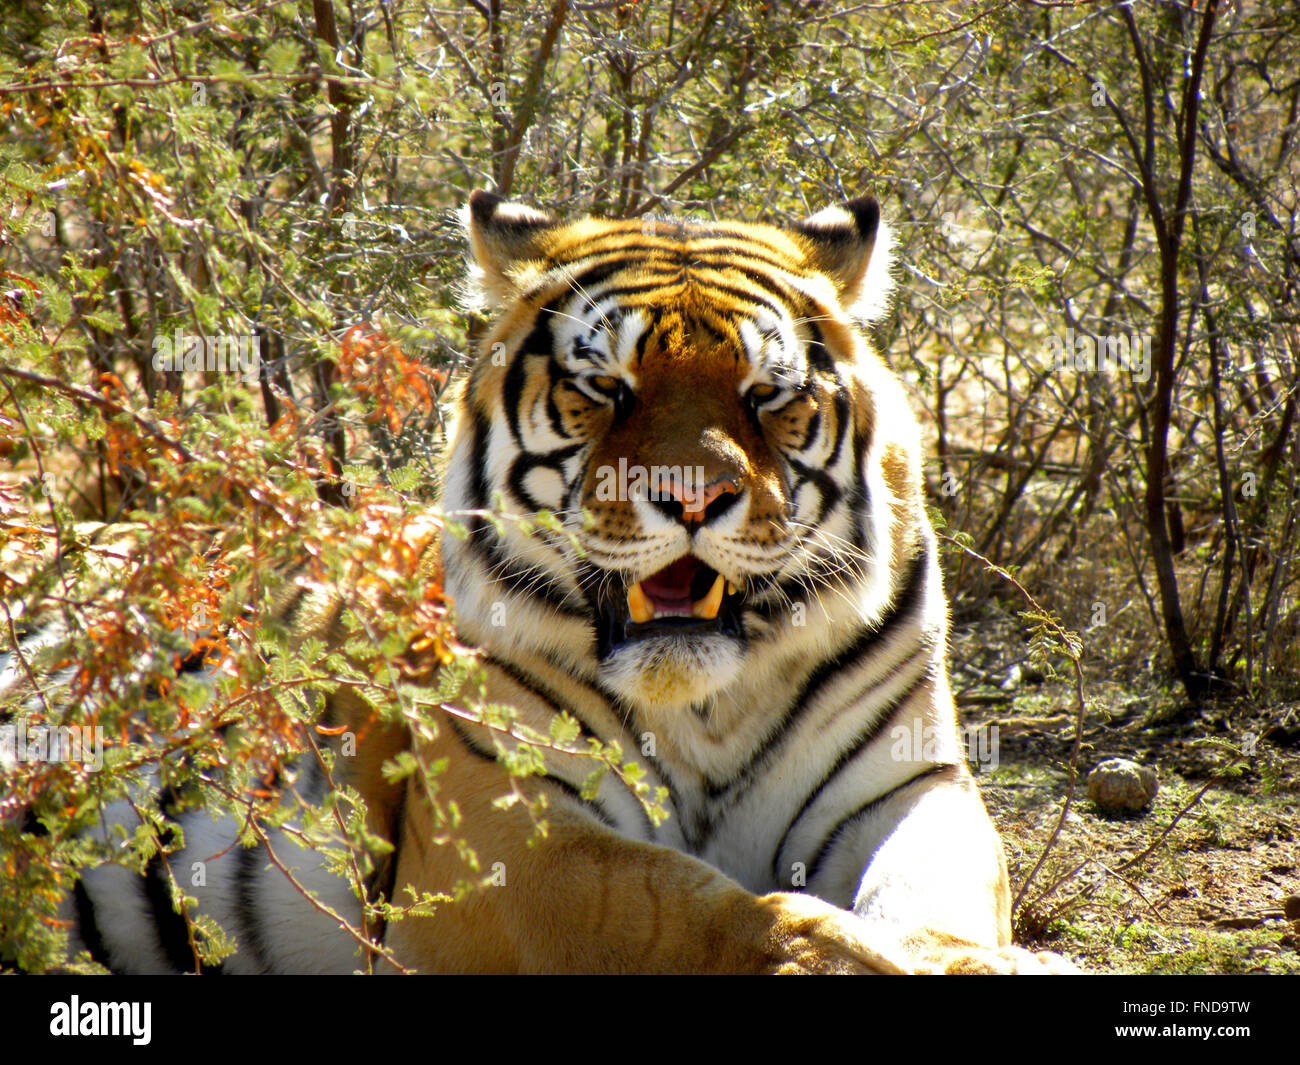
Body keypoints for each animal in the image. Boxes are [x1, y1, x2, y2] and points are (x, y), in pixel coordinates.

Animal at [6, 191, 1075, 974]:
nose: (692, 497)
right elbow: (695, 906)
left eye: (767, 395)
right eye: (605, 388)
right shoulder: (508, 831)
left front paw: (969, 959)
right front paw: (846, 954)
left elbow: (935, 897)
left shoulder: (911, 785)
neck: (707, 706)